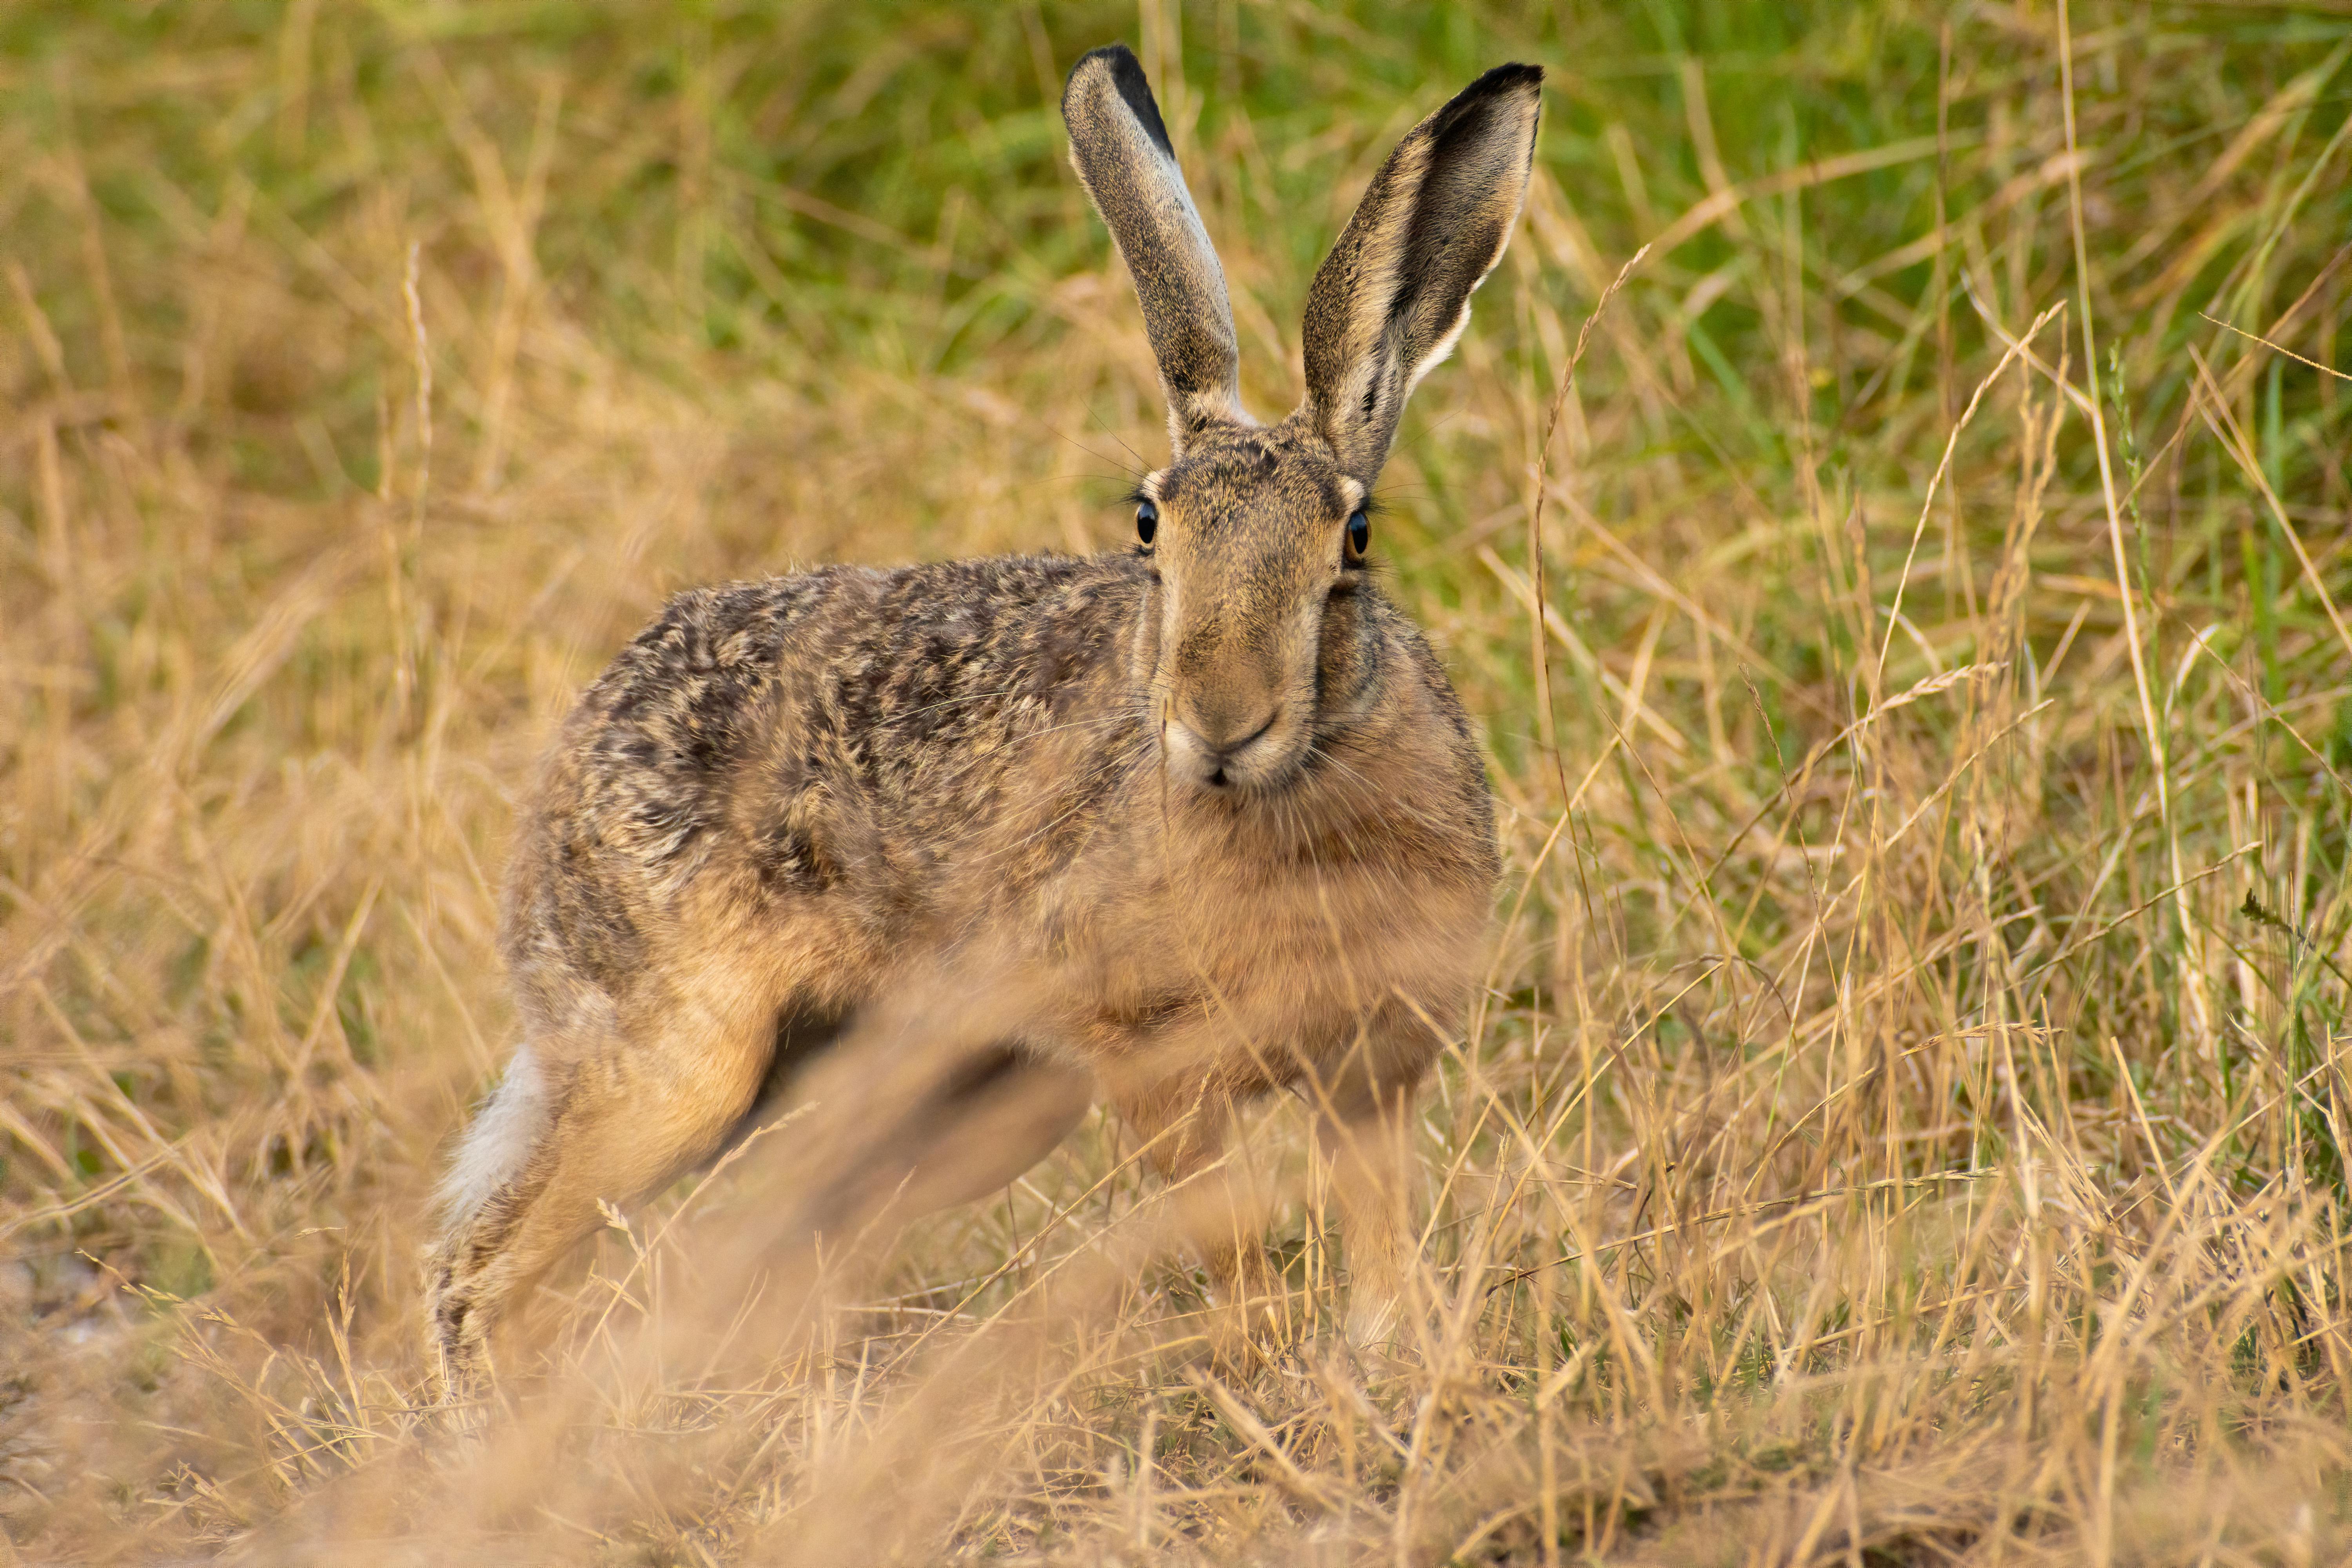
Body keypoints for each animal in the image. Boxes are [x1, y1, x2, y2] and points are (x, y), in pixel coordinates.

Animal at [423, 42, 1539, 1404]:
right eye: (1148, 526)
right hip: (689, 1063)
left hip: (962, 1090)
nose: (1221, 722)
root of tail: (571, 763)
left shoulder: (1372, 1070)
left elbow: (1377, 1235)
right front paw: (1262, 1373)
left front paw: (1392, 1367)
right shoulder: (1155, 1063)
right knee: (486, 1276)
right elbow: (1229, 1241)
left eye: (1358, 540)